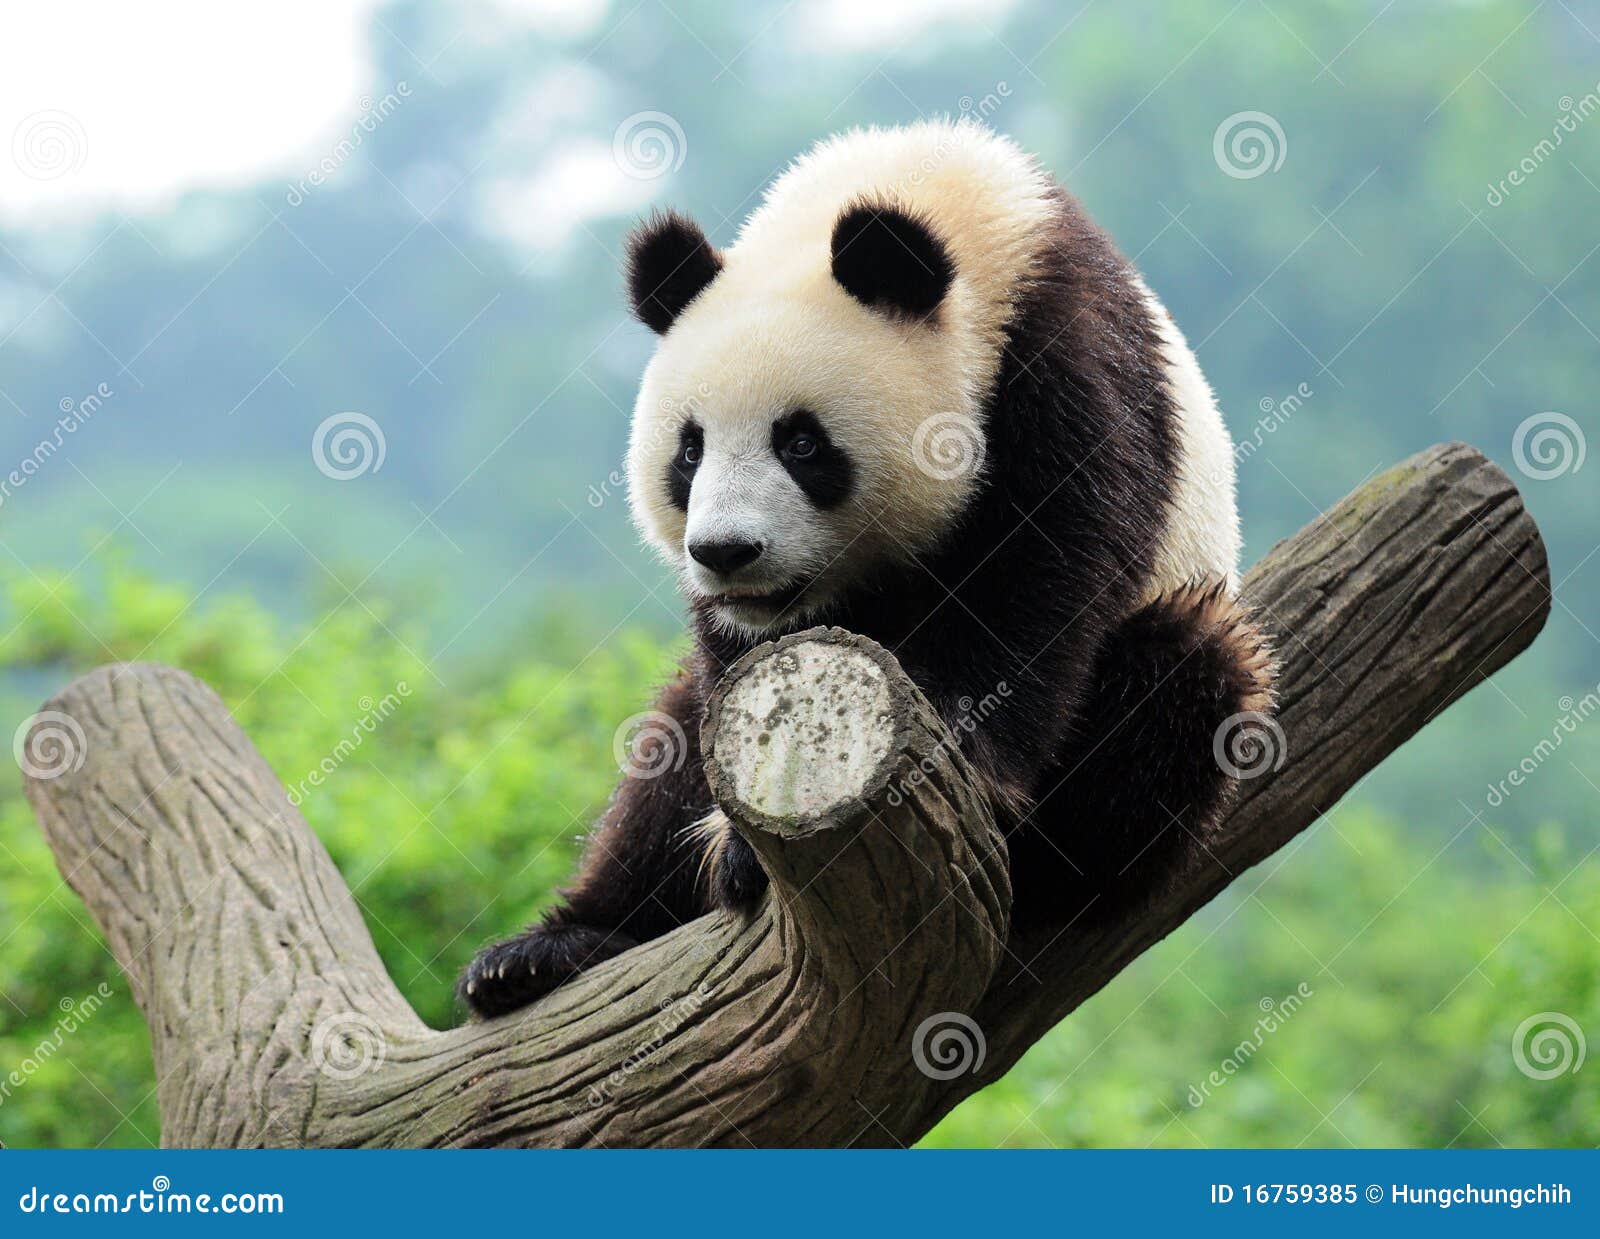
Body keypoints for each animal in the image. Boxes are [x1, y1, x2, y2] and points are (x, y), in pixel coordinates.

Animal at [461, 119, 1273, 1018]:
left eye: (801, 442)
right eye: (689, 449)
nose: (726, 552)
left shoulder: (1062, 367)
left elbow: (1037, 581)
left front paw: (972, 762)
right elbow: (722, 677)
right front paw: (733, 847)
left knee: (1180, 682)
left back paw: (1044, 858)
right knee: (664, 756)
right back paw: (546, 953)